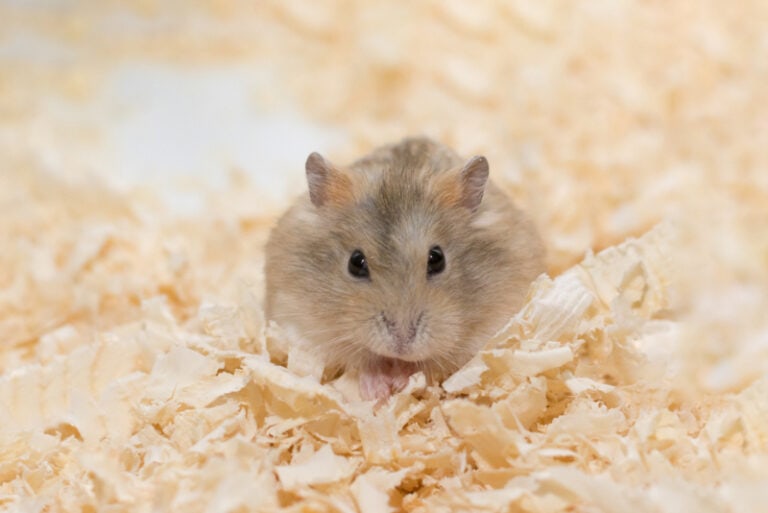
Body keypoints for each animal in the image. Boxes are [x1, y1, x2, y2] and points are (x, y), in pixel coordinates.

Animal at [264, 137, 545, 401]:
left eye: (437, 259)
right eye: (355, 262)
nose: (401, 343)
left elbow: (429, 363)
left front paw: (399, 381)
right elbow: (361, 360)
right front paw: (378, 390)